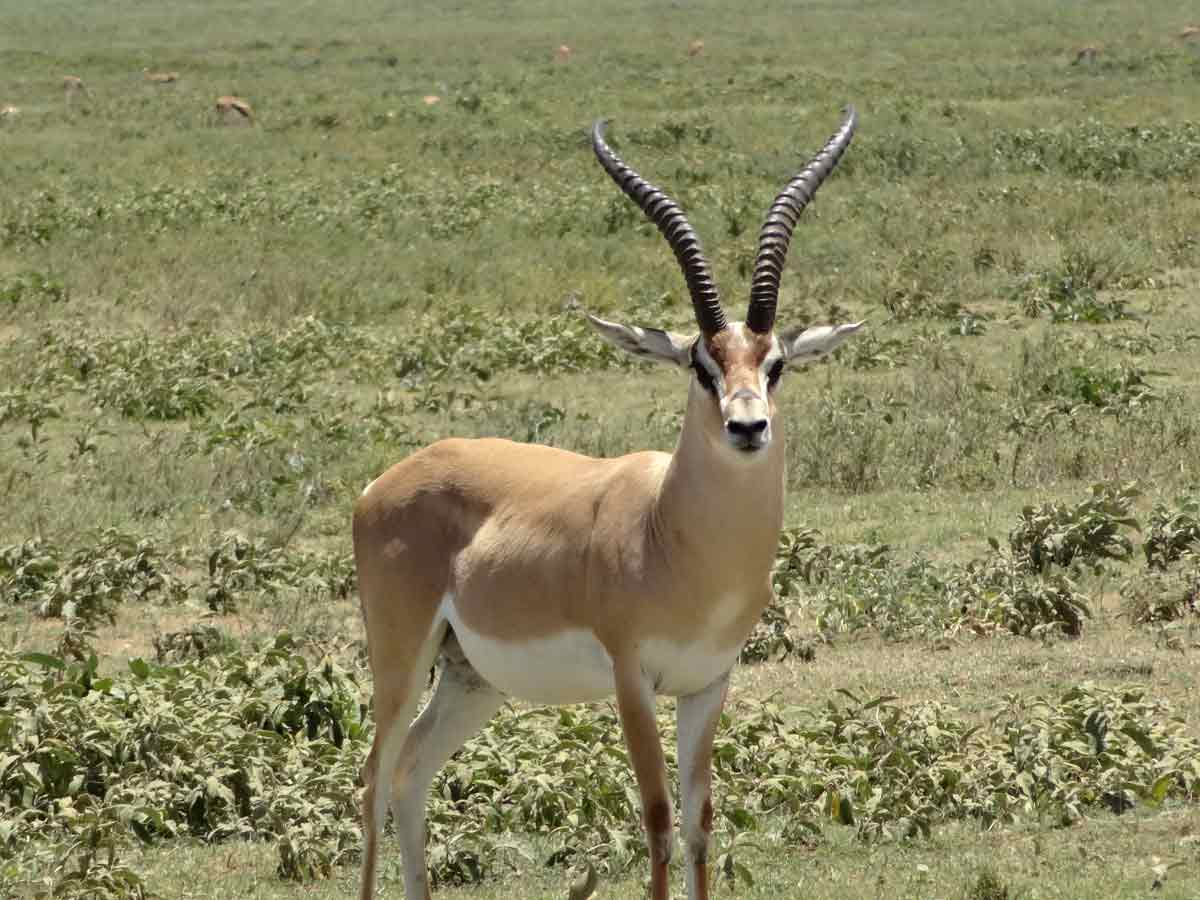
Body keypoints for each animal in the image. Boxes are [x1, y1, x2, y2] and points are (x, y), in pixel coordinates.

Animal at [354, 107, 863, 900]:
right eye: (700, 364)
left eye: (774, 365)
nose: (747, 427)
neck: (675, 540)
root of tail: (384, 483)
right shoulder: (633, 682)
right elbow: (656, 821)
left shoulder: (707, 683)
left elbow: (699, 824)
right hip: (400, 658)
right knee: (373, 782)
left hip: (471, 678)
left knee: (411, 773)